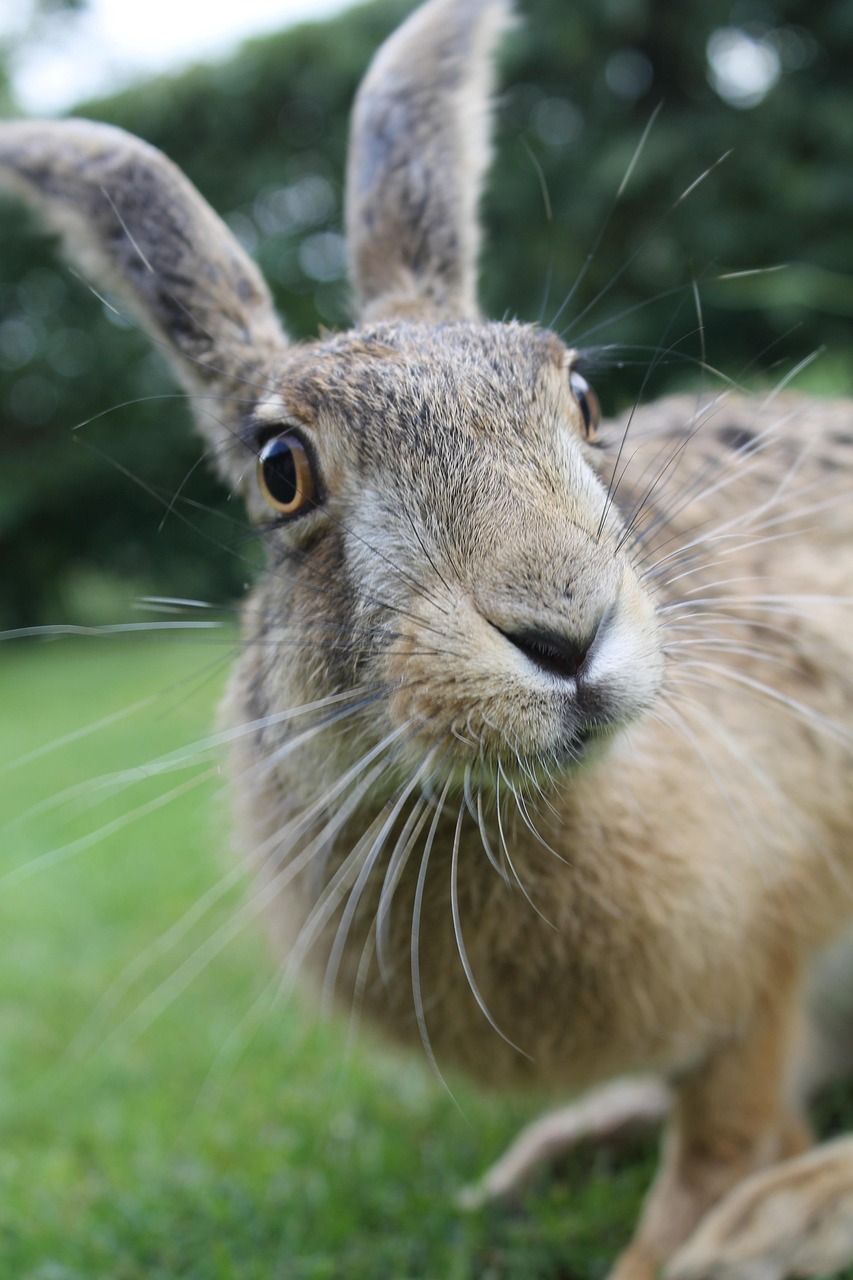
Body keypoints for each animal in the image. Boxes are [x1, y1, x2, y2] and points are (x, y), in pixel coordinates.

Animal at [1, 0, 852, 1276]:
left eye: (580, 397)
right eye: (281, 471)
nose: (565, 628)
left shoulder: (771, 951)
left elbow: (727, 1117)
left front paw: (691, 1243)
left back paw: (786, 1211)